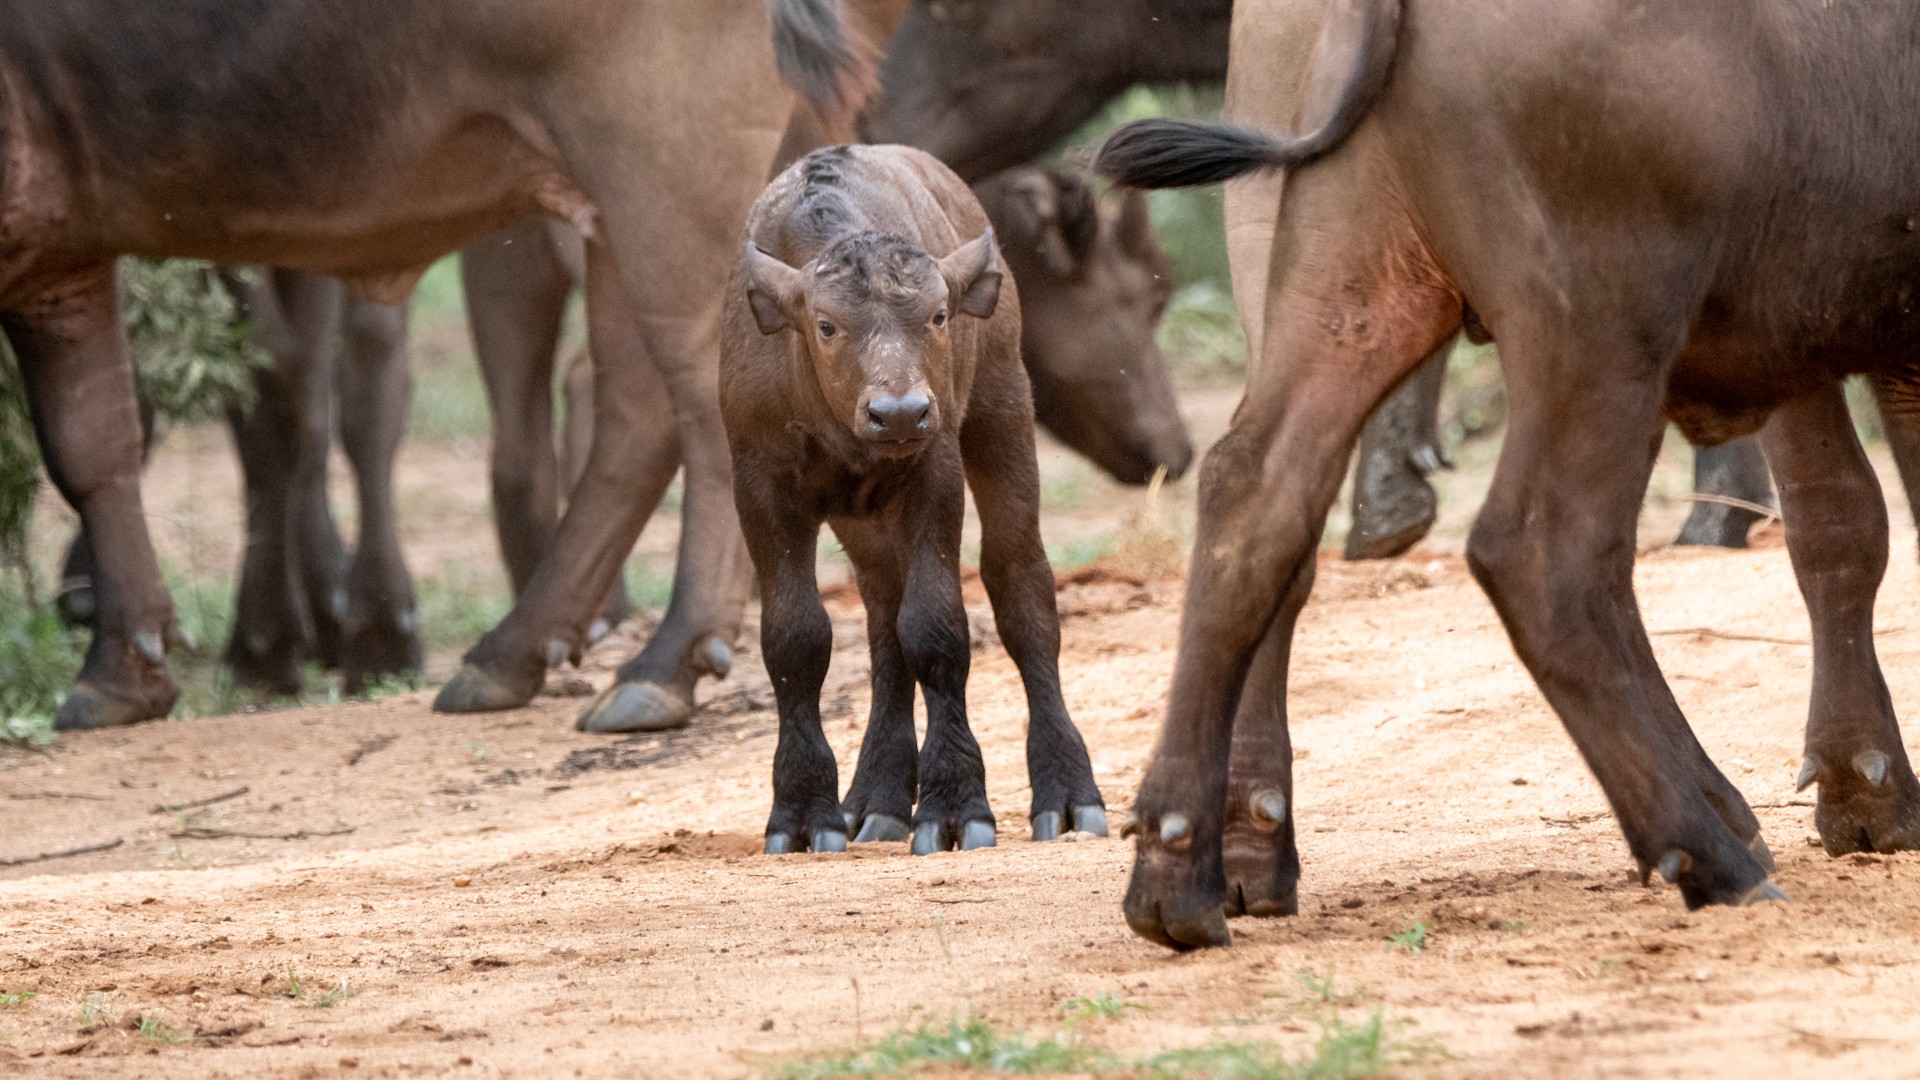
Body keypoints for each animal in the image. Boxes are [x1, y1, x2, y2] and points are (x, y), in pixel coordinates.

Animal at [1, 0, 872, 730]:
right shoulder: (62, 262)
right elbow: (90, 443)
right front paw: (122, 668)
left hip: (661, 171)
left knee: (695, 404)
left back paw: (664, 661)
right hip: (608, 203)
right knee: (630, 410)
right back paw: (511, 650)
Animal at [722, 144, 1106, 853]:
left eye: (938, 315)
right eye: (826, 325)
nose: (899, 413)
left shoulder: (935, 473)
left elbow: (935, 627)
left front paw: (954, 805)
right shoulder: (759, 488)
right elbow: (794, 639)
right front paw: (803, 812)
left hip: (1003, 410)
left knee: (1020, 589)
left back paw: (1067, 795)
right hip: (863, 520)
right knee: (882, 618)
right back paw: (877, 801)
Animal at [1095, 0, 1920, 947]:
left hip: (1343, 283)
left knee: (1260, 501)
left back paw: (1187, 874)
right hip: (1599, 329)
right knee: (1543, 554)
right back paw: (1715, 855)